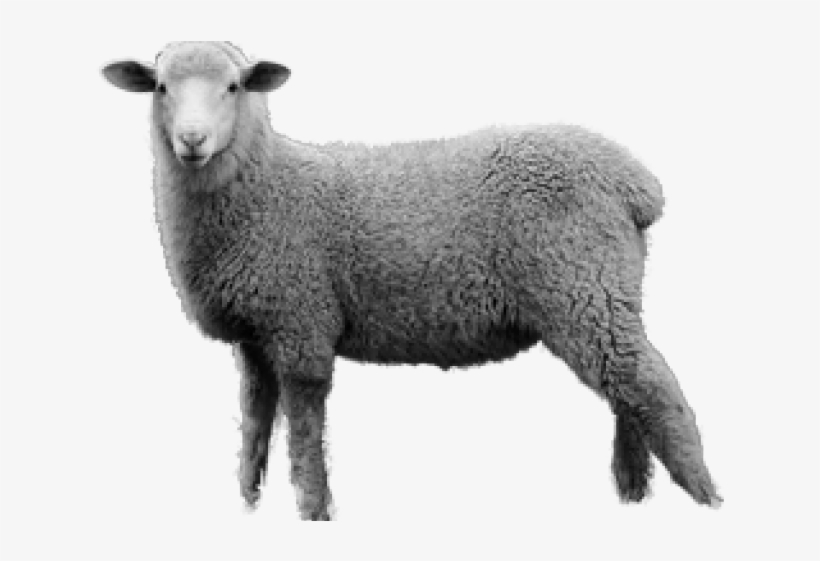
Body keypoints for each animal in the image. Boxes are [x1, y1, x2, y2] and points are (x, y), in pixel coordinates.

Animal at [102, 41, 721, 520]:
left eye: (233, 86)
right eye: (160, 87)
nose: (192, 140)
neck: (265, 188)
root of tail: (633, 180)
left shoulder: (302, 322)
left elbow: (303, 433)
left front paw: (313, 511)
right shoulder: (257, 334)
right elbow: (254, 424)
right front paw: (248, 505)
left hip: (578, 282)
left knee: (651, 388)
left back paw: (706, 498)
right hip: (602, 291)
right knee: (626, 388)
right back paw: (633, 493)